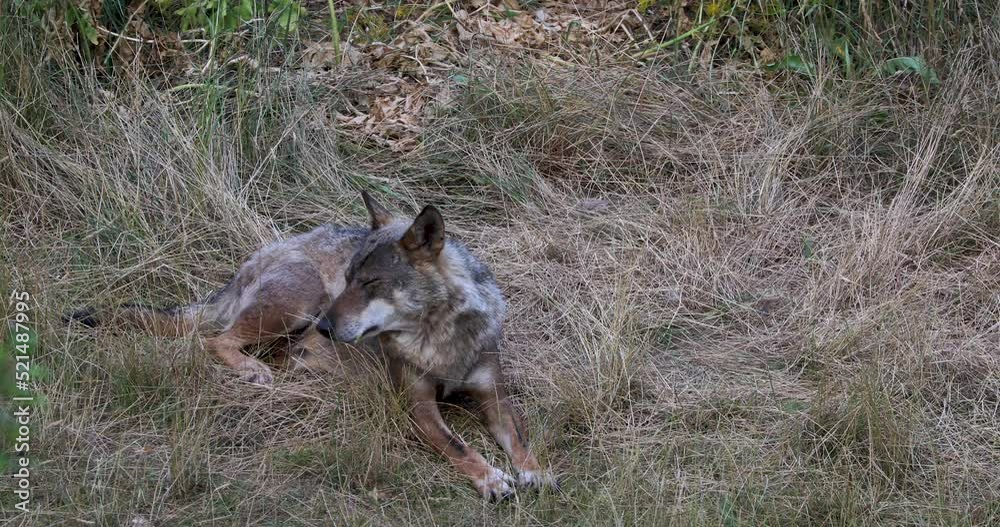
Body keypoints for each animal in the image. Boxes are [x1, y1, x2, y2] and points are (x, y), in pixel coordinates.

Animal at [66, 192, 556, 499]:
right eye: (349, 279)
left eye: (370, 283)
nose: (325, 328)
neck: (438, 336)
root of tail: (255, 258)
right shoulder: (416, 407)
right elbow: (459, 446)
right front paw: (491, 478)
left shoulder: (494, 395)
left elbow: (520, 438)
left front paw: (535, 471)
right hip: (297, 306)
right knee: (215, 339)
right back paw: (252, 369)